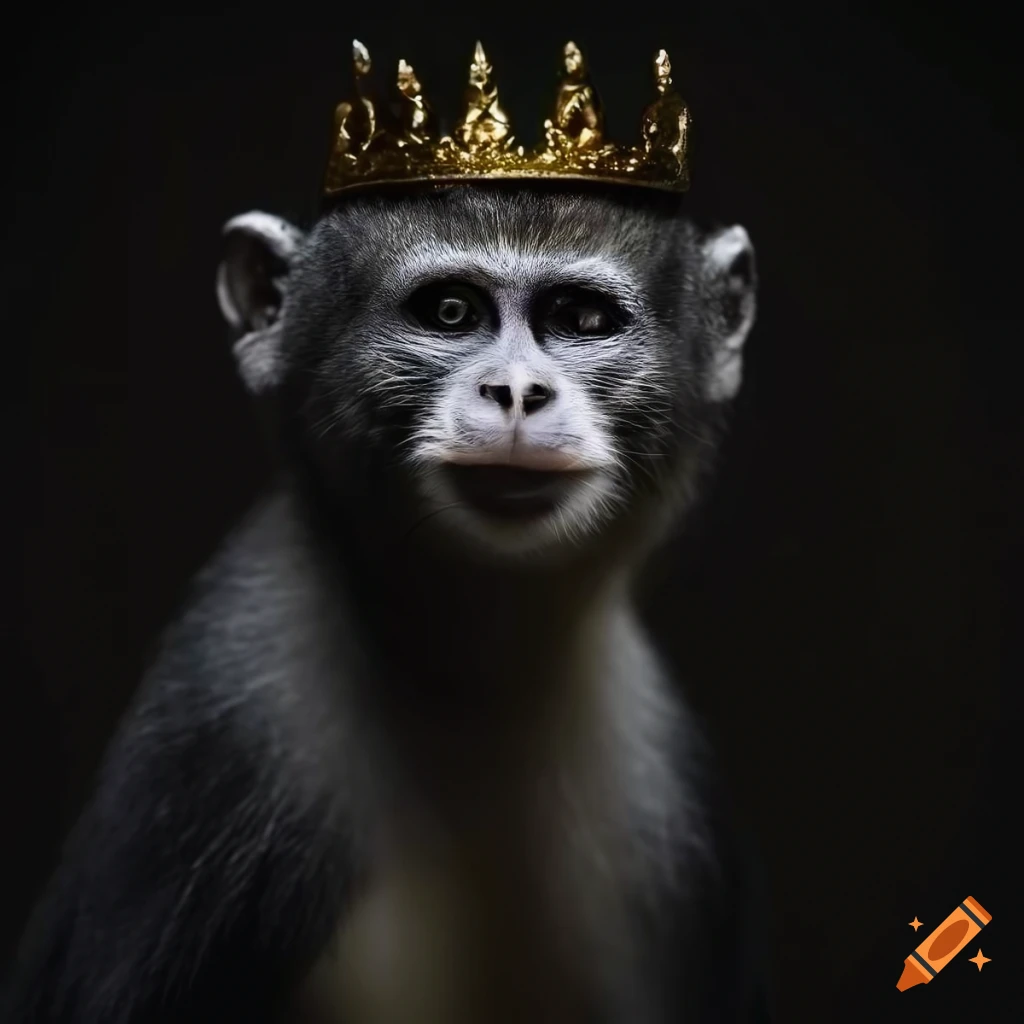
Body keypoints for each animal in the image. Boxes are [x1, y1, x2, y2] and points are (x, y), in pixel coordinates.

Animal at [4, 182, 767, 1023]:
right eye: (450, 313)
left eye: (583, 321)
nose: (517, 392)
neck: (467, 678)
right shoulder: (228, 718)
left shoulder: (665, 781)